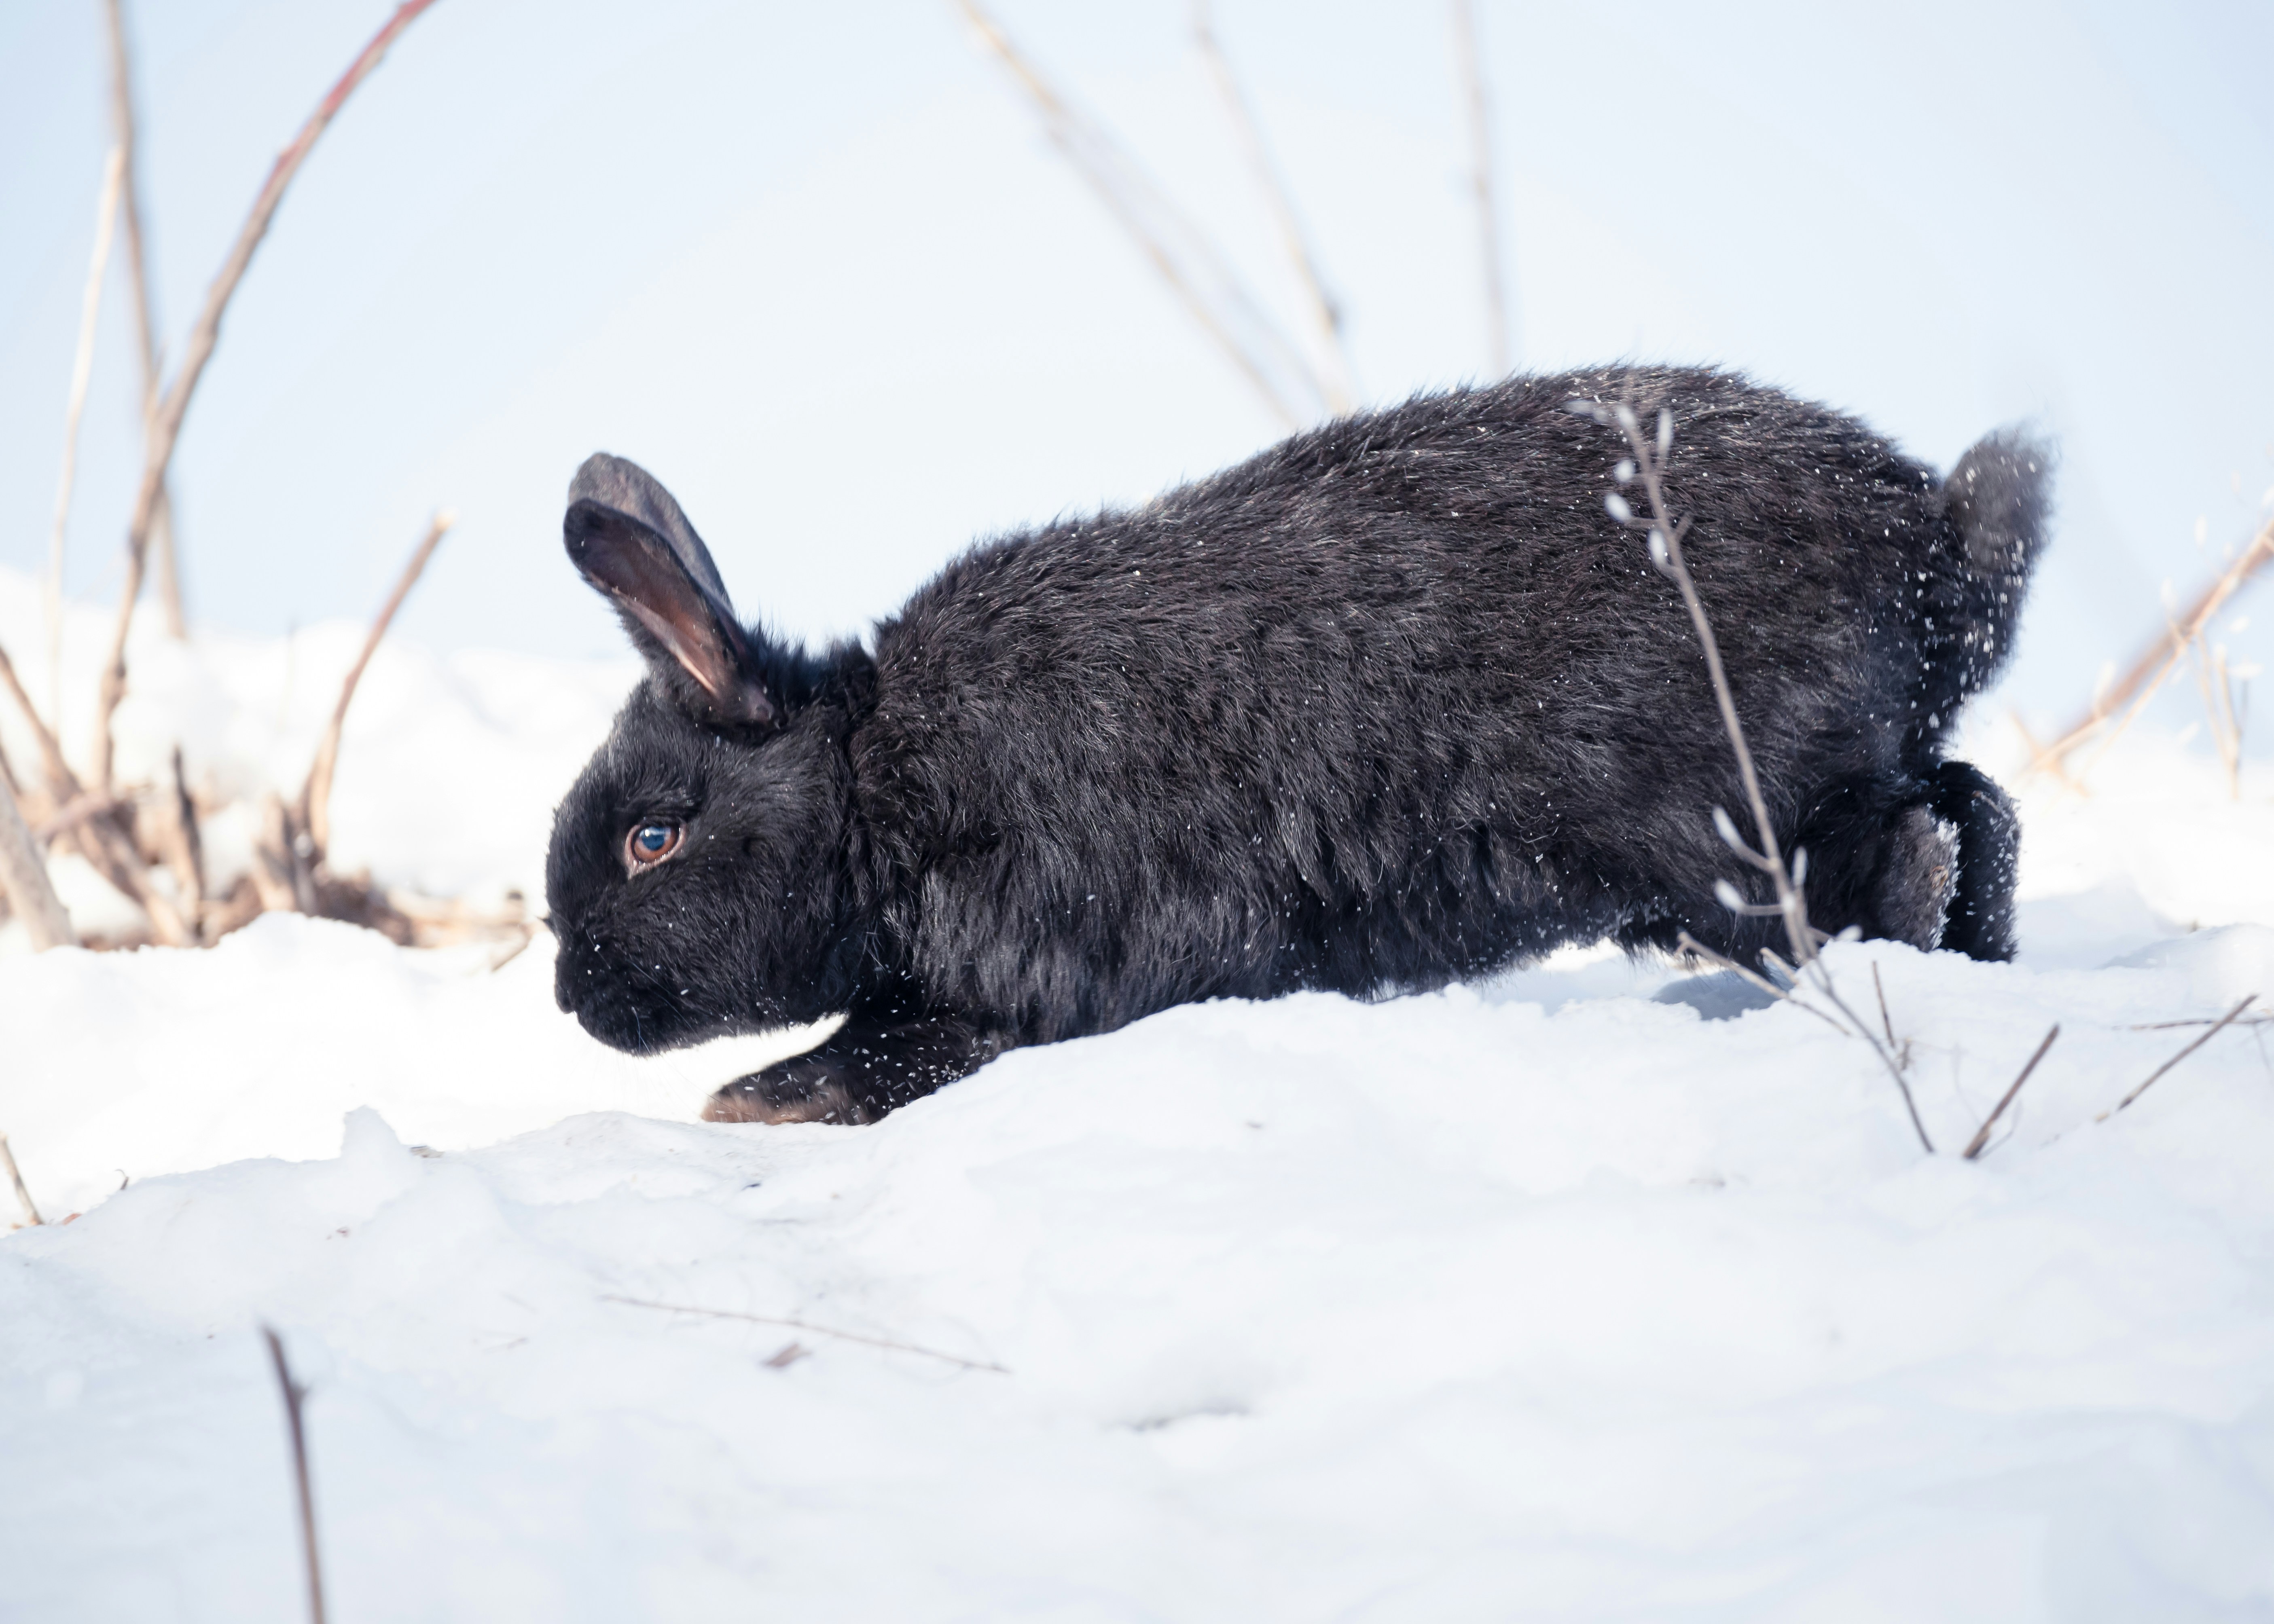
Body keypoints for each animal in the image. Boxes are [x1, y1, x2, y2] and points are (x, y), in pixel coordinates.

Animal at [546, 364, 2048, 1125]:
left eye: (652, 838)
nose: (569, 995)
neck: (878, 780)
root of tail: (1937, 555)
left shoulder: (1023, 971)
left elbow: (891, 1048)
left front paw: (756, 1101)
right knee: (1977, 811)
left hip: (1732, 838)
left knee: (1907, 856)